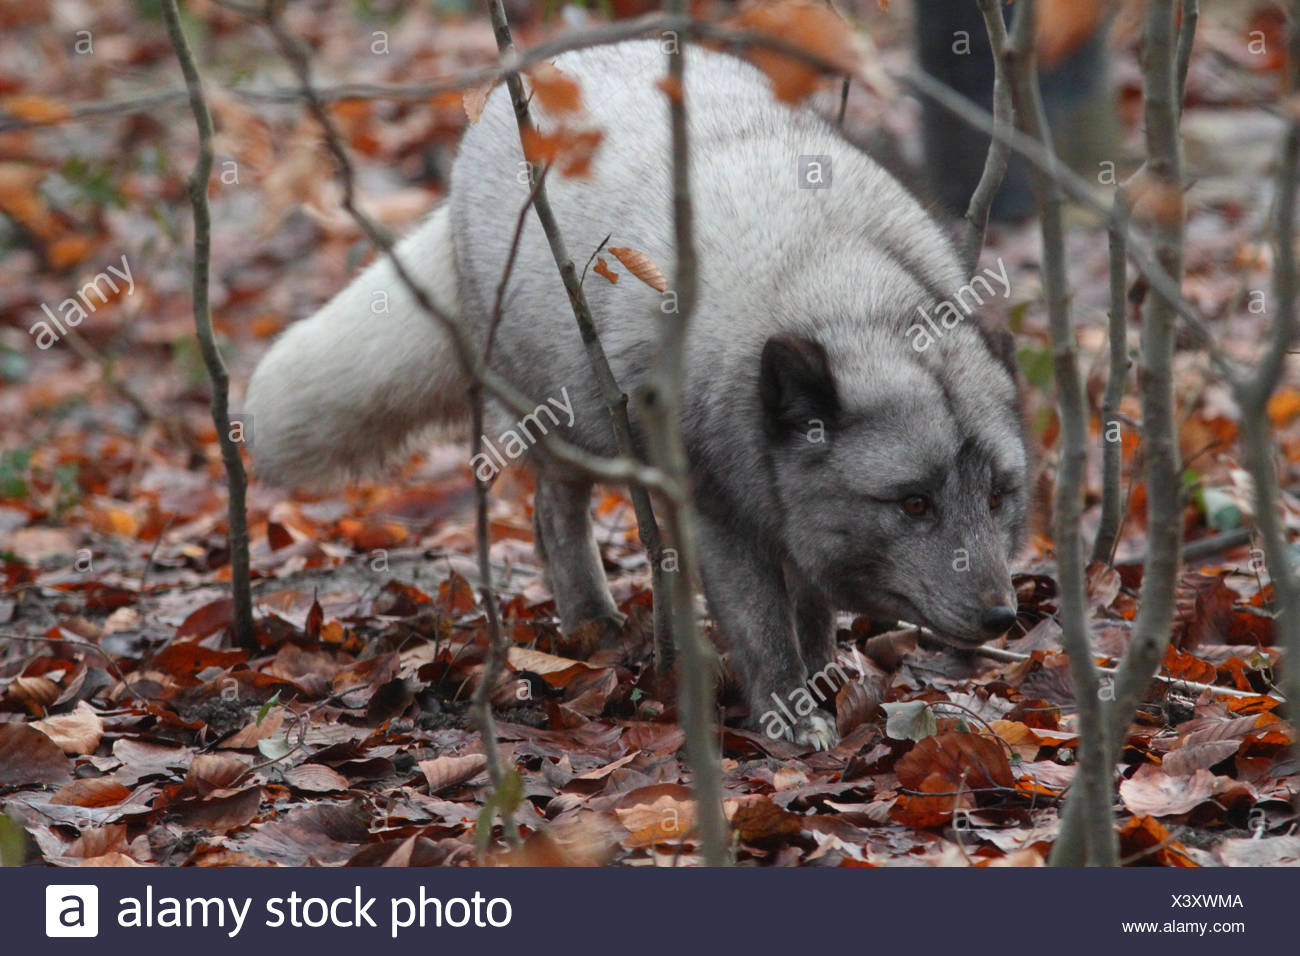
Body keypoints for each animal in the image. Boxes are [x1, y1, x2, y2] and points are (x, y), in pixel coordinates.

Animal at [245, 40, 1029, 750]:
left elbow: (810, 612)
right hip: (564, 420)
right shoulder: (719, 506)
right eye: (914, 504)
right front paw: (790, 720)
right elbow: (764, 626)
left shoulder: (789, 506)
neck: (836, 286)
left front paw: (822, 682)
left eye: (997, 497)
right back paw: (592, 622)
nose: (1002, 619)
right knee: (551, 515)